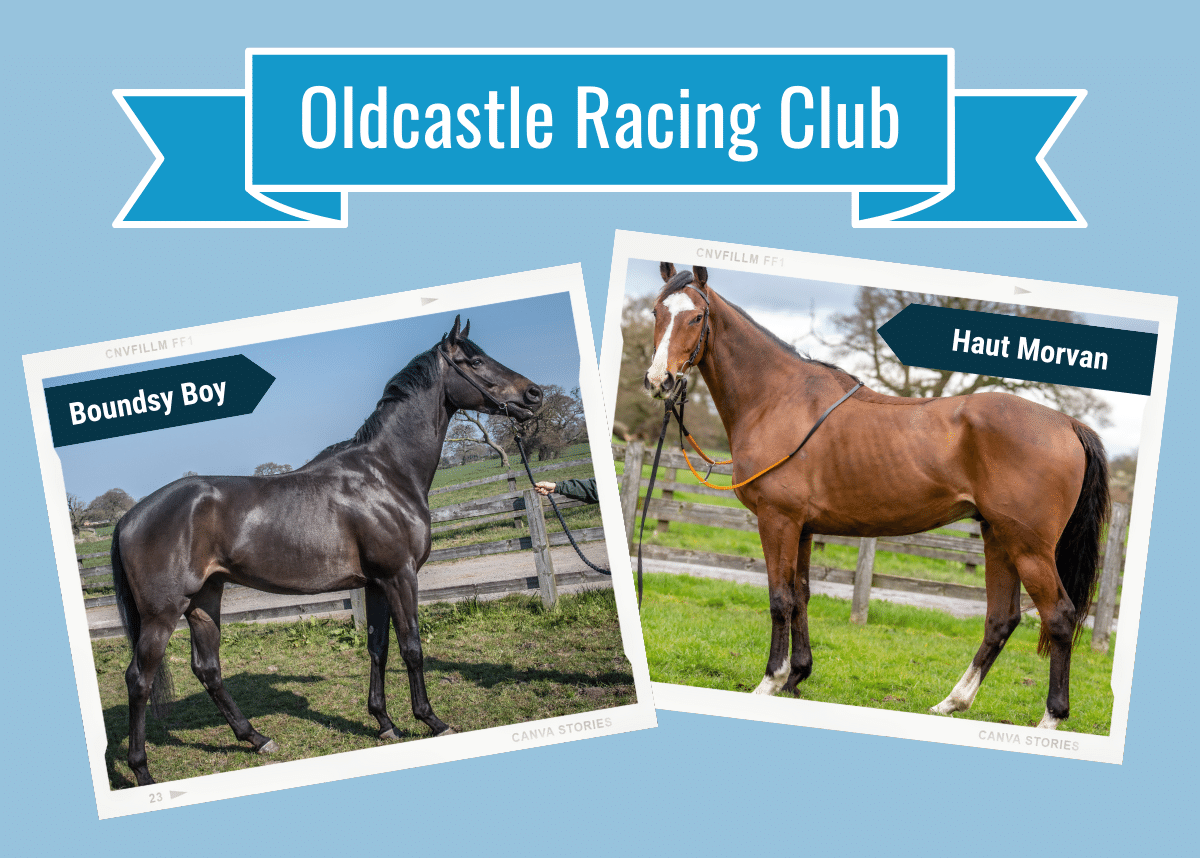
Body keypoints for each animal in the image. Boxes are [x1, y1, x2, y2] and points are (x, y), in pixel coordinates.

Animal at [111, 315, 543, 785]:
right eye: (475, 361)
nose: (534, 395)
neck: (386, 474)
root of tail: (130, 516)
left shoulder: (375, 583)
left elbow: (378, 647)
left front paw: (384, 723)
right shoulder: (400, 576)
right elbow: (411, 647)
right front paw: (431, 720)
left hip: (204, 601)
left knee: (208, 670)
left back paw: (257, 739)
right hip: (162, 614)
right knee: (138, 680)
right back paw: (143, 771)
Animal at [643, 263, 1109, 730]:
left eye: (696, 318)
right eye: (656, 313)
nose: (658, 381)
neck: (777, 398)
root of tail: (1067, 423)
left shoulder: (778, 520)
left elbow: (780, 599)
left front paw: (771, 681)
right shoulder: (803, 527)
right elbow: (802, 595)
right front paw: (797, 676)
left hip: (1028, 546)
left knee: (1059, 617)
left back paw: (1050, 717)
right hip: (998, 537)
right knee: (1001, 618)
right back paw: (952, 702)